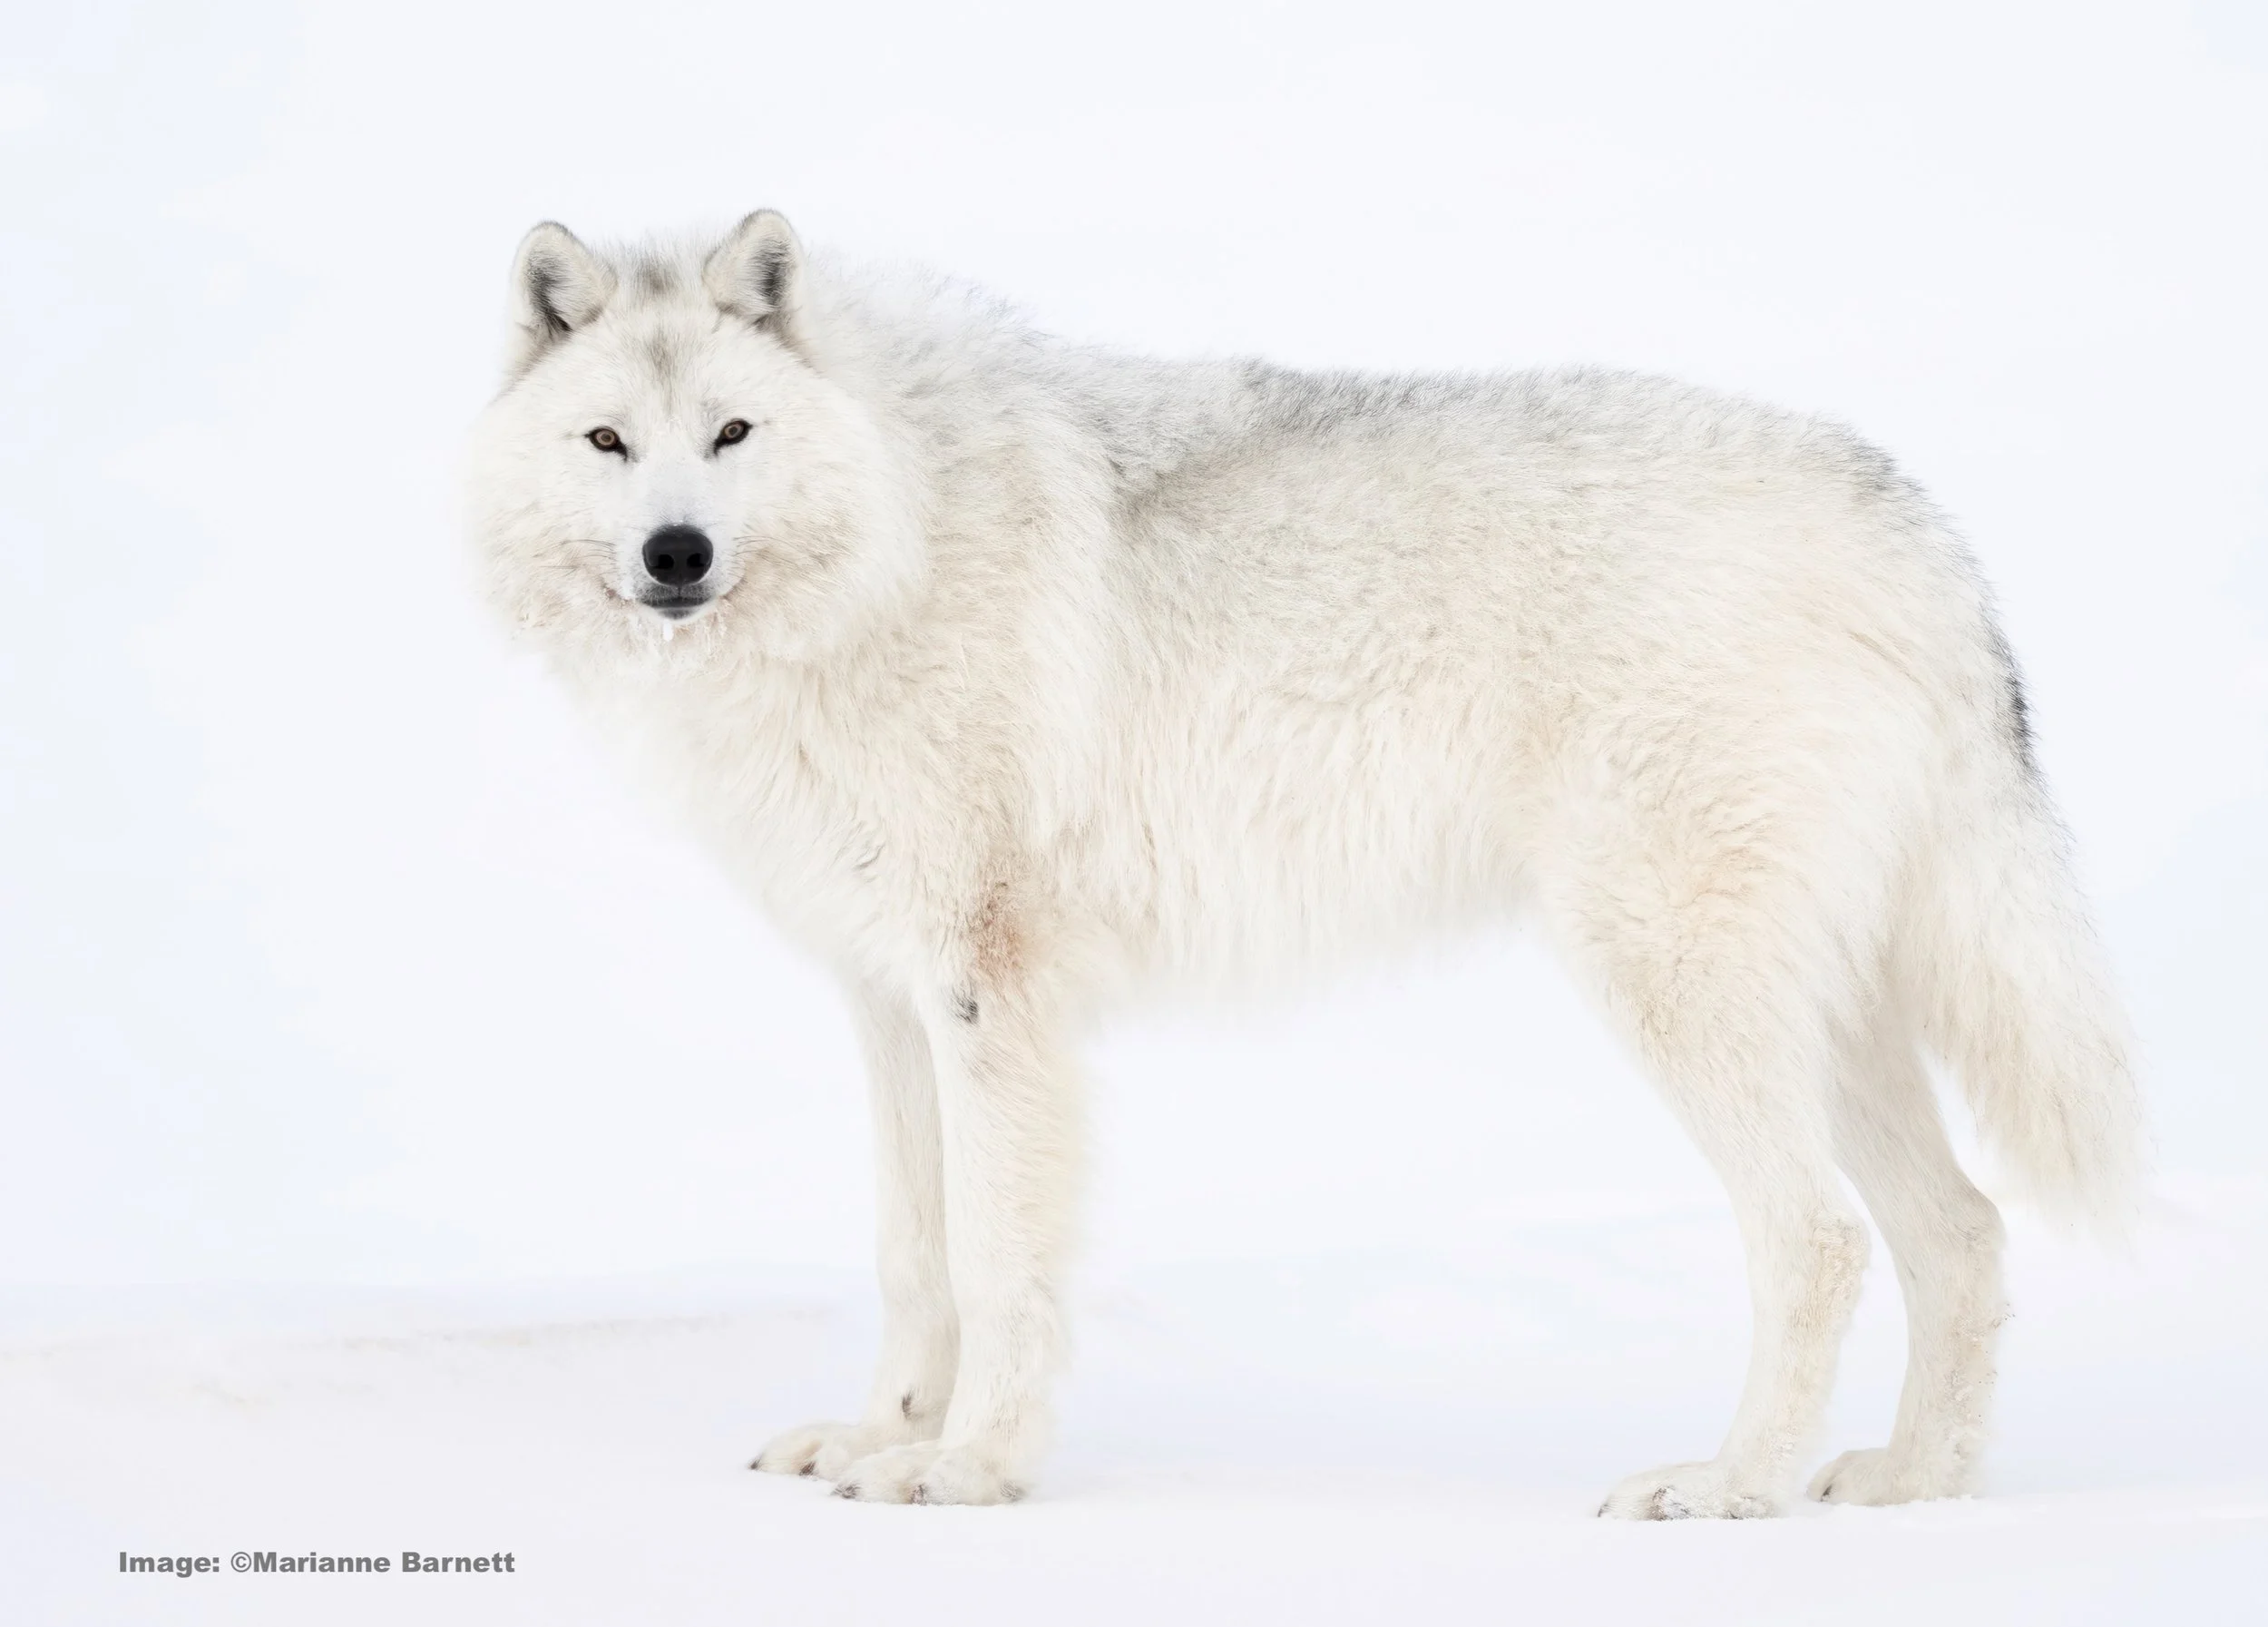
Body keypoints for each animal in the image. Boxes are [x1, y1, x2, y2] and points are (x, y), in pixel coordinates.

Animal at [465, 210, 2144, 1517]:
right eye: (608, 441)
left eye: (732, 434)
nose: (675, 552)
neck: (893, 537)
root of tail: (1912, 523)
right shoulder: (891, 1001)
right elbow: (911, 1251)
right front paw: (879, 1439)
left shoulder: (993, 997)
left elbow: (999, 1258)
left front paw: (971, 1469)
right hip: (1827, 1013)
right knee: (1963, 1231)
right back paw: (1912, 1485)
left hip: (1676, 983)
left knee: (1820, 1239)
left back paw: (1729, 1486)